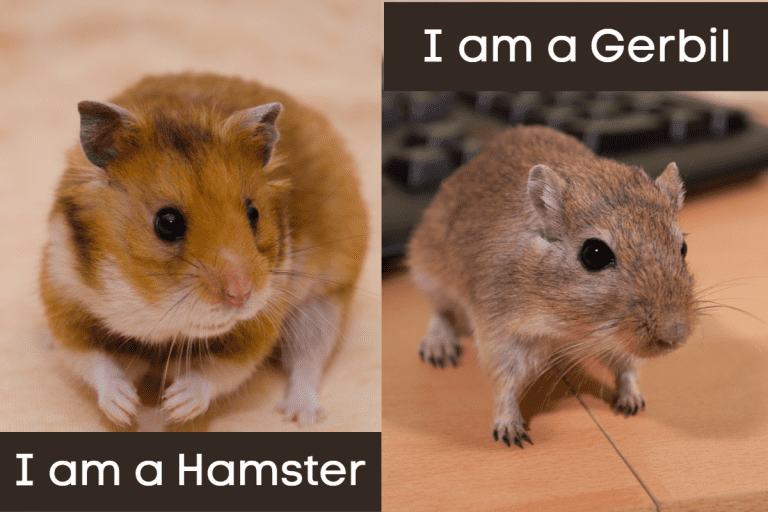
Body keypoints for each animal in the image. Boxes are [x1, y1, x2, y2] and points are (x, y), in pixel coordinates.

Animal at [40, 73, 367, 428]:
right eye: (167, 222)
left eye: (253, 213)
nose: (241, 295)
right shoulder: (64, 298)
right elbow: (93, 361)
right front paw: (126, 410)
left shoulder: (258, 325)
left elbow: (217, 371)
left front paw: (175, 405)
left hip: (323, 304)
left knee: (307, 361)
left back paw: (300, 416)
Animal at [408, 125, 696, 448]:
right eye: (595, 254)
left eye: (683, 247)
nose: (675, 336)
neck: (567, 323)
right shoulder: (501, 333)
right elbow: (503, 383)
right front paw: (511, 433)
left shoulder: (613, 341)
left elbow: (627, 366)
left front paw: (631, 401)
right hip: (428, 269)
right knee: (440, 311)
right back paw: (439, 348)